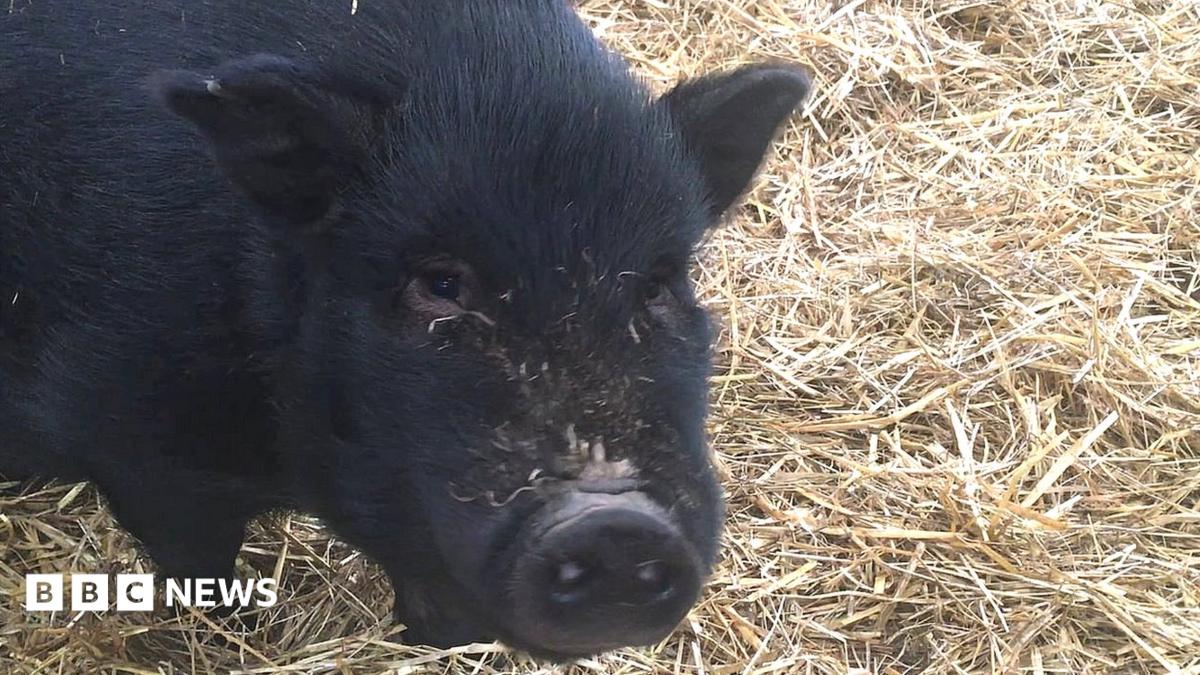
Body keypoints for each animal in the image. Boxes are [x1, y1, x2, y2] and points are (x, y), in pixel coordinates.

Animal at [0, 0, 809, 659]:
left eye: (658, 283)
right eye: (439, 284)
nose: (614, 520)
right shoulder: (130, 432)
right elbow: (198, 561)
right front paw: (229, 637)